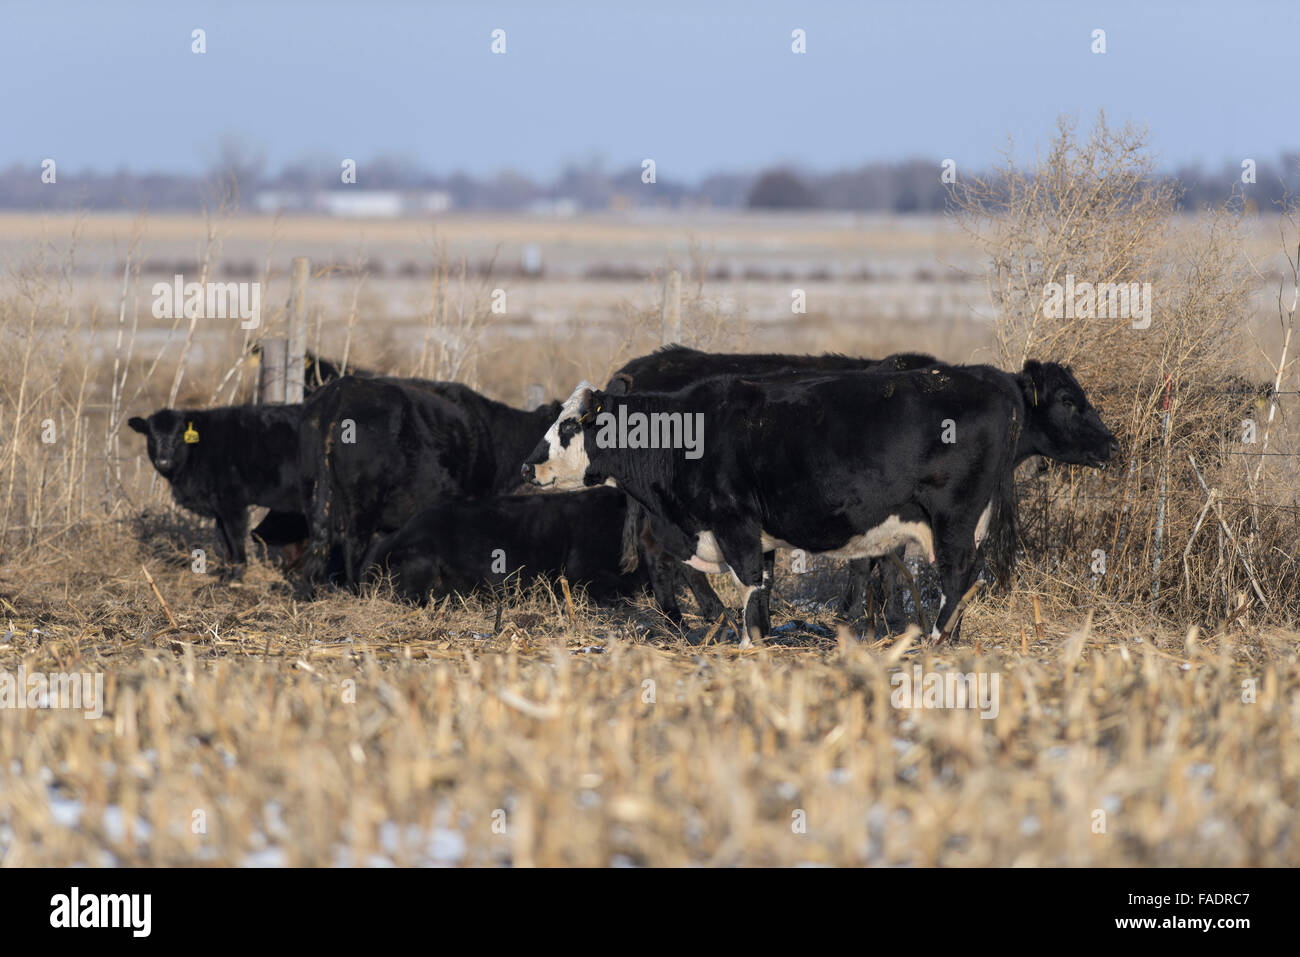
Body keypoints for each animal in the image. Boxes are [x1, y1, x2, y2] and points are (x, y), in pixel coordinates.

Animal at [128, 404, 304, 578]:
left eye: (178, 436)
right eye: (151, 437)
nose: (163, 462)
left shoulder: (232, 503)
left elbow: (235, 538)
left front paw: (237, 577)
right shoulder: (218, 507)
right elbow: (223, 540)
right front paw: (225, 576)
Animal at [523, 360, 1117, 645]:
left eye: (570, 426)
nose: (528, 466)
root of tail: (992, 380)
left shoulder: (735, 525)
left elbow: (749, 593)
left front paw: (745, 642)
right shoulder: (742, 533)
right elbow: (752, 592)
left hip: (954, 519)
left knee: (957, 576)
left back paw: (934, 639)